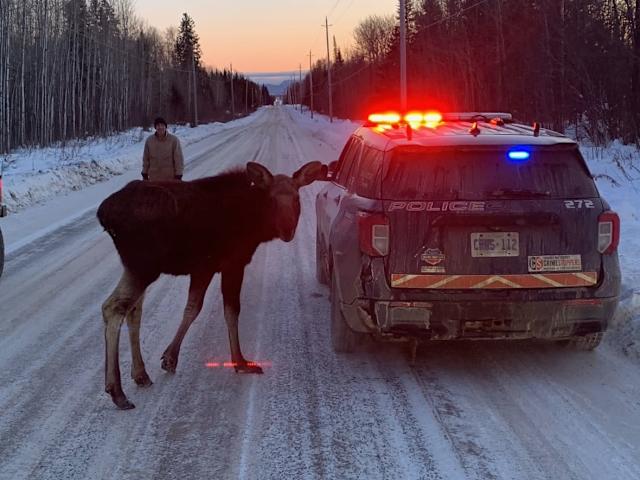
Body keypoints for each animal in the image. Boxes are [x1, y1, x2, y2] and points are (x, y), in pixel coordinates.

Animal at [97, 161, 327, 409]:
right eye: (272, 199)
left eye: (296, 198)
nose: (287, 230)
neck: (255, 225)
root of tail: (103, 214)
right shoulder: (230, 263)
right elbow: (228, 311)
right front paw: (240, 362)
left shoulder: (204, 268)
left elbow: (192, 309)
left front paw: (169, 358)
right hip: (144, 266)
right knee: (113, 307)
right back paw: (117, 391)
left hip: (136, 267)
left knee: (133, 310)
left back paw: (140, 374)